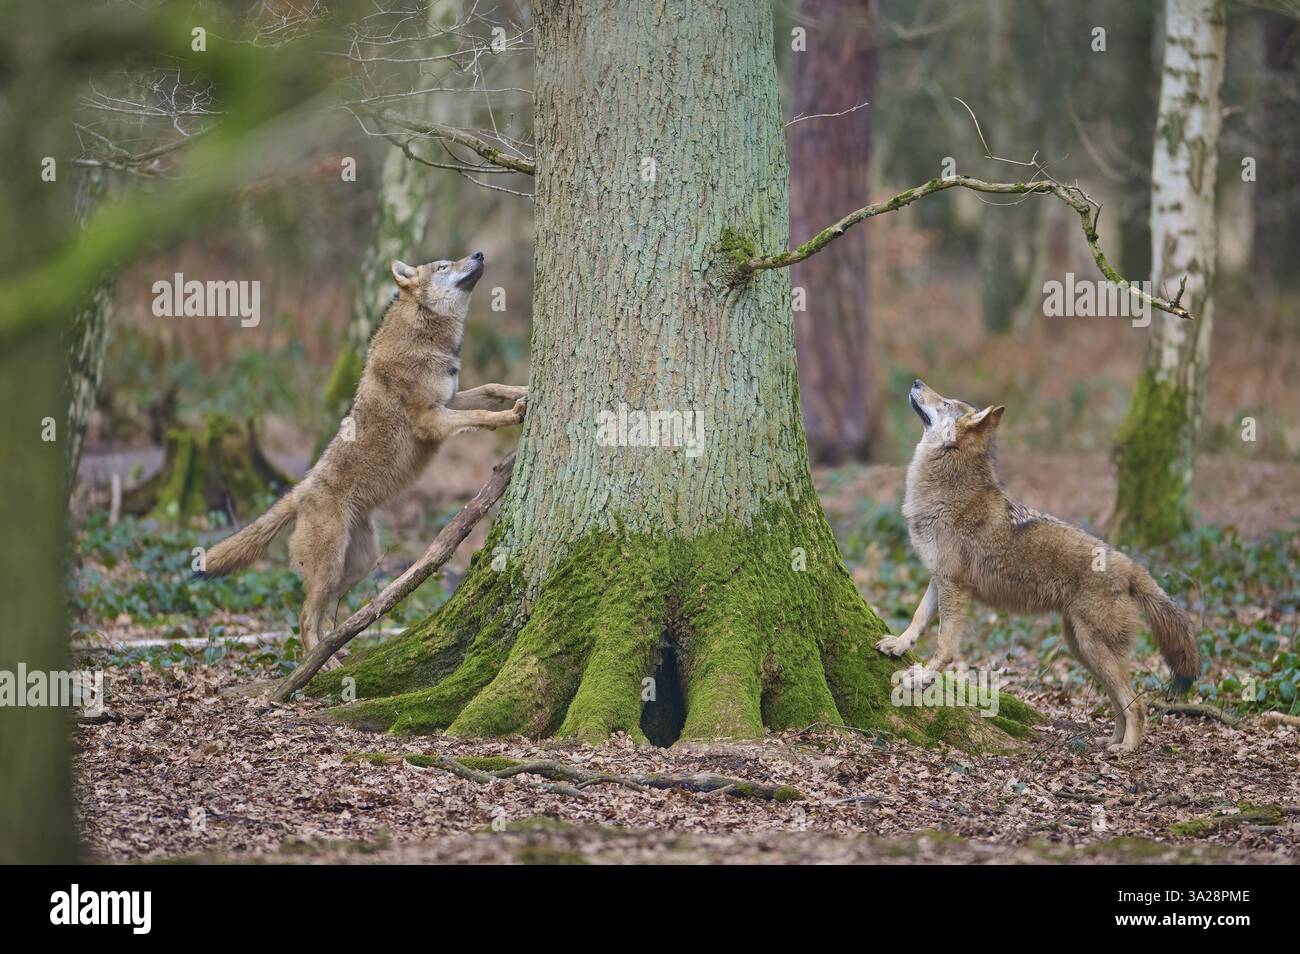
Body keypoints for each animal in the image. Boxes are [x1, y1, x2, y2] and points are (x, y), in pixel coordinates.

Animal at [200, 252, 527, 665]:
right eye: (443, 266)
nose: (480, 254)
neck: (425, 338)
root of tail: (300, 492)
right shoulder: (432, 420)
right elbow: (484, 415)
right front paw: (514, 414)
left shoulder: (451, 399)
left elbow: (491, 386)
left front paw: (526, 389)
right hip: (330, 566)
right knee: (305, 617)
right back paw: (322, 666)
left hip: (360, 563)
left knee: (325, 616)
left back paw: (331, 656)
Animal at [876, 379, 1200, 752]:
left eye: (944, 402)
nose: (916, 382)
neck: (946, 486)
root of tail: (1132, 566)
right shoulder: (938, 579)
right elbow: (917, 619)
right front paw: (899, 645)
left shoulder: (955, 588)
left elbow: (945, 646)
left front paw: (921, 680)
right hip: (1081, 648)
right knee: (1120, 702)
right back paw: (1111, 741)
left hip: (1093, 648)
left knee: (1139, 705)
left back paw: (1126, 749)